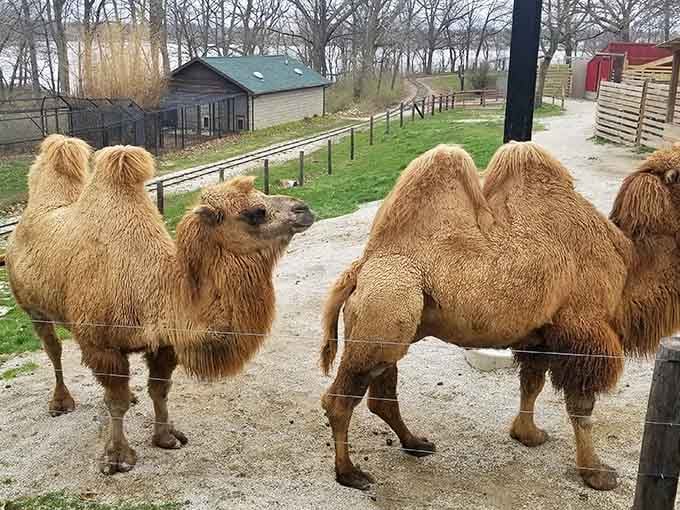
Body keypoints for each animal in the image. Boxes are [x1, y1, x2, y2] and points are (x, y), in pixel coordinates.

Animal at [6, 135, 314, 474]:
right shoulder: (103, 345)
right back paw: (61, 403)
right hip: (32, 306)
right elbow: (116, 403)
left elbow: (159, 390)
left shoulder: (165, 344)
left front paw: (166, 437)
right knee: (54, 350)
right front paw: (117, 457)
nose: (304, 209)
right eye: (256, 212)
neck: (154, 291)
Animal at [320, 141, 680, 491]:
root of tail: (359, 269)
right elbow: (582, 407)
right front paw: (597, 473)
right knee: (340, 400)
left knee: (381, 396)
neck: (629, 263)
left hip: (391, 323)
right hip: (386, 308)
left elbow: (531, 384)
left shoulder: (540, 335)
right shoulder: (584, 330)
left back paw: (416, 443)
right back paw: (350, 473)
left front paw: (528, 435)